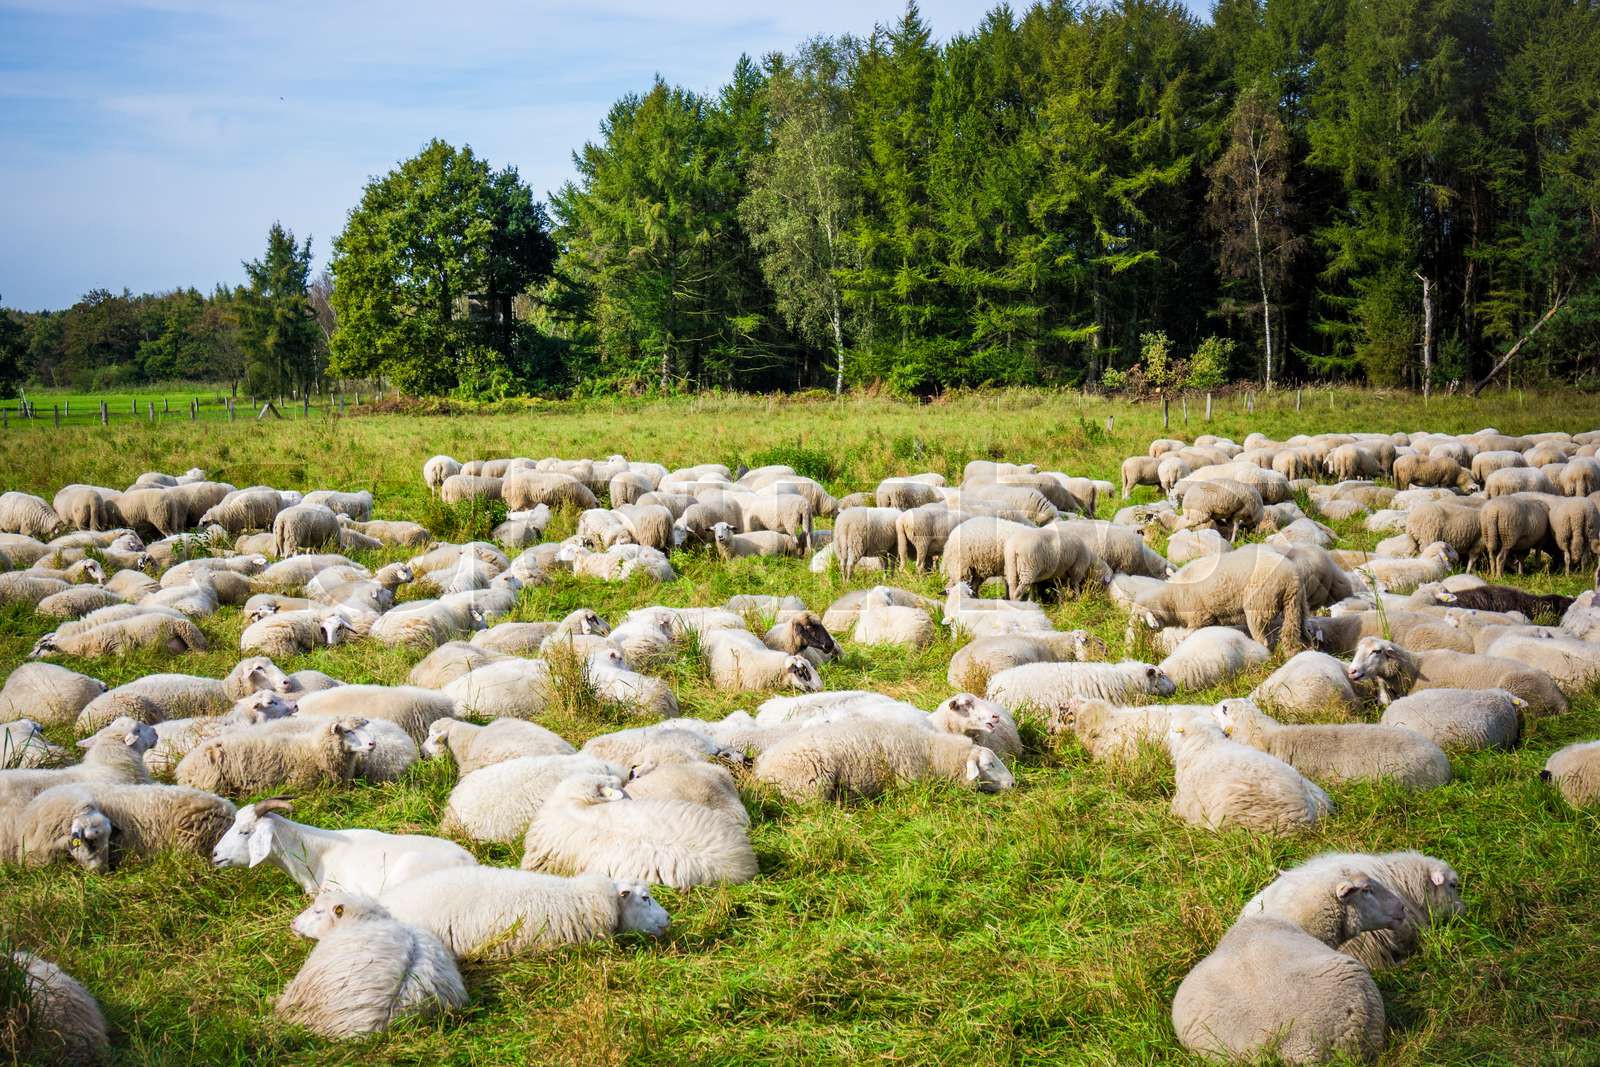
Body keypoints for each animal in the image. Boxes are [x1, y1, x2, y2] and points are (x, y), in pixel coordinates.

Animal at [751, 721, 1014, 801]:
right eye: (989, 765)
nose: (1013, 783)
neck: (933, 752)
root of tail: (762, 770)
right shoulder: (909, 781)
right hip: (810, 786)